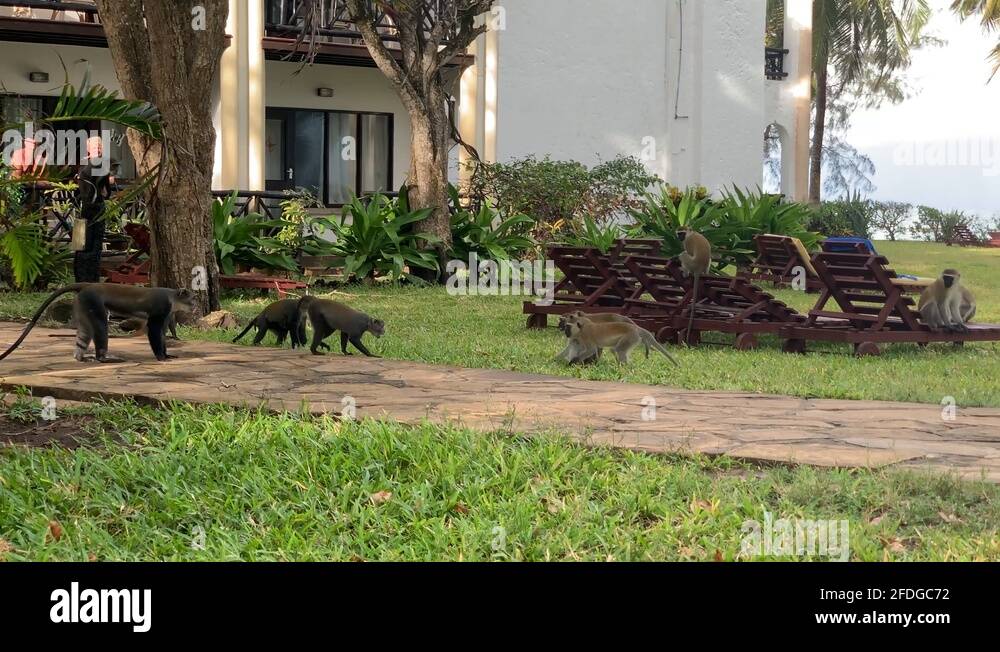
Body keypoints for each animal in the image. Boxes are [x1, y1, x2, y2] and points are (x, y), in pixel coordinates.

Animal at [0, 283, 195, 363]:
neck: (172, 298)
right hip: (93, 303)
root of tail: (87, 286)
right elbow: (155, 331)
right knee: (101, 328)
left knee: (84, 333)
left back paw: (80, 357)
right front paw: (161, 356)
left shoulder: (167, 313)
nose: (195, 307)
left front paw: (167, 354)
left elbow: (162, 333)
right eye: (192, 299)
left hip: (83, 306)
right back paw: (103, 358)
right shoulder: (162, 307)